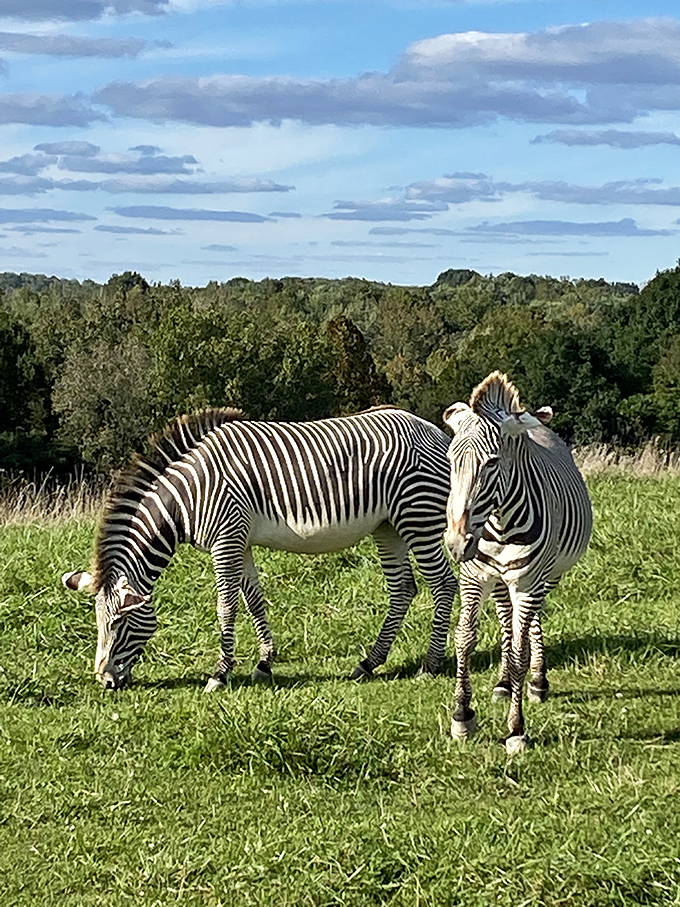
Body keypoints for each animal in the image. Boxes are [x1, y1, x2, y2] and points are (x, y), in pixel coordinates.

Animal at [62, 406, 458, 691]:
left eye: (119, 623)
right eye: (97, 622)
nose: (105, 681)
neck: (185, 499)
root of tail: (435, 431)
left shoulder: (226, 539)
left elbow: (226, 606)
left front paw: (219, 674)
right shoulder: (241, 541)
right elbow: (254, 600)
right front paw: (265, 663)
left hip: (418, 516)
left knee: (443, 584)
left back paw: (430, 664)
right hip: (387, 526)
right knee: (403, 589)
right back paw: (369, 662)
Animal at [442, 371, 592, 755]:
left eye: (492, 462)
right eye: (450, 461)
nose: (456, 543)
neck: (498, 523)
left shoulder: (527, 582)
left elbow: (521, 651)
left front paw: (516, 728)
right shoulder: (474, 577)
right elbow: (465, 639)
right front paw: (462, 715)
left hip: (545, 577)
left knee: (531, 624)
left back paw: (536, 682)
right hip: (499, 583)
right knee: (507, 624)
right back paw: (503, 682)